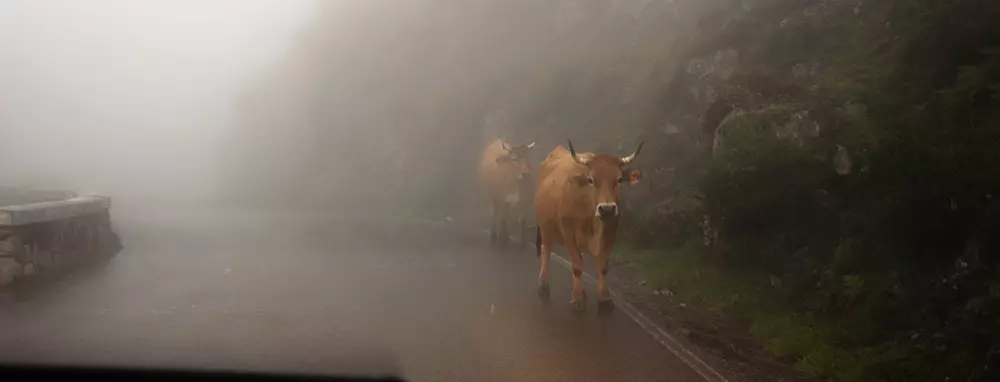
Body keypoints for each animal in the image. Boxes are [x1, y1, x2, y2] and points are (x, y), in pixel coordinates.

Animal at [536, 140, 644, 310]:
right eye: (591, 180)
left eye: (619, 180)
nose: (607, 209)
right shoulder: (568, 232)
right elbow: (576, 266)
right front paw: (577, 299)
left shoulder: (611, 231)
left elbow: (602, 266)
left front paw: (604, 298)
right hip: (546, 227)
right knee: (546, 250)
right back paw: (543, 285)